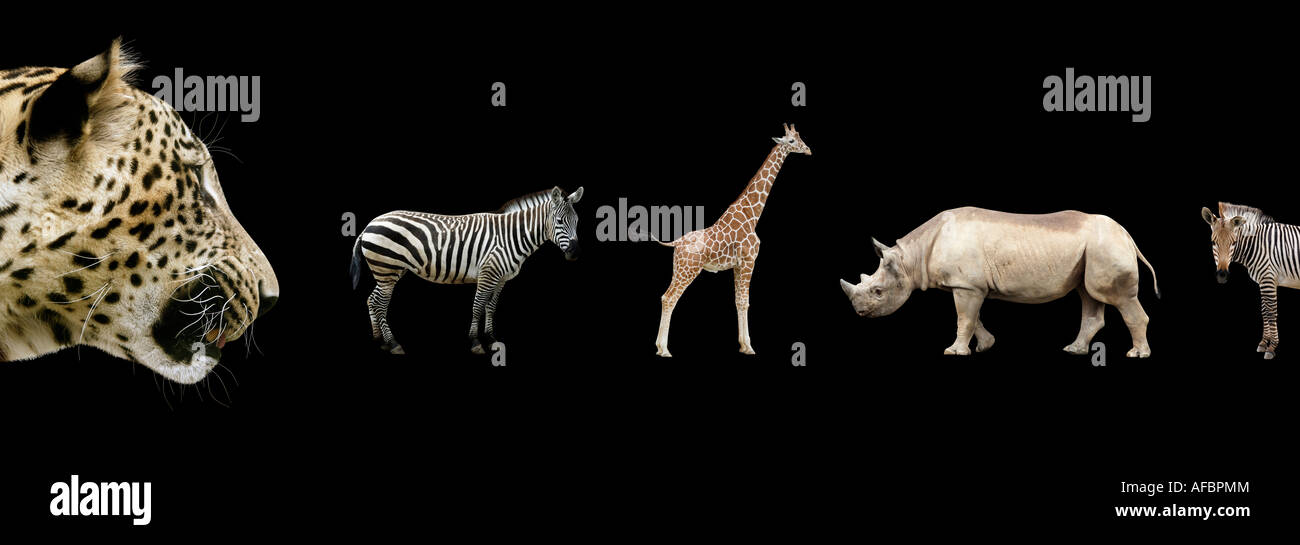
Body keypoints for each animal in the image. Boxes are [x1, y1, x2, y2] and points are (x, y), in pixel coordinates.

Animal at [351, 186, 584, 355]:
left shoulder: (501, 279)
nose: (574, 254)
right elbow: (478, 306)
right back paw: (393, 344)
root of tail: (370, 224)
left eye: (577, 222)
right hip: (386, 268)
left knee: (372, 300)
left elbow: (491, 307)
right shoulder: (488, 273)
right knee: (380, 303)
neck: (510, 237)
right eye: (560, 221)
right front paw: (475, 342)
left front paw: (491, 339)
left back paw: (379, 340)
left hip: (390, 271)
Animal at [653, 123, 811, 357]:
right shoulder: (749, 261)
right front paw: (750, 346)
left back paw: (660, 347)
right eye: (791, 141)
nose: (808, 149)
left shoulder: (737, 265)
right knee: (670, 297)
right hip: (689, 269)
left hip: (678, 267)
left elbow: (738, 301)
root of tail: (676, 243)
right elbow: (745, 301)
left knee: (666, 296)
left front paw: (743, 345)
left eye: (800, 138)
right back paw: (664, 349)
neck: (752, 214)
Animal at [1201, 202, 1300, 359]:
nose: (1222, 275)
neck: (1257, 245)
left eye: (1234, 242)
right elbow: (1264, 311)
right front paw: (1263, 343)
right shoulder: (1265, 281)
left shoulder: (1268, 279)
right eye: (1213, 242)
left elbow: (1271, 312)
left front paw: (1271, 347)